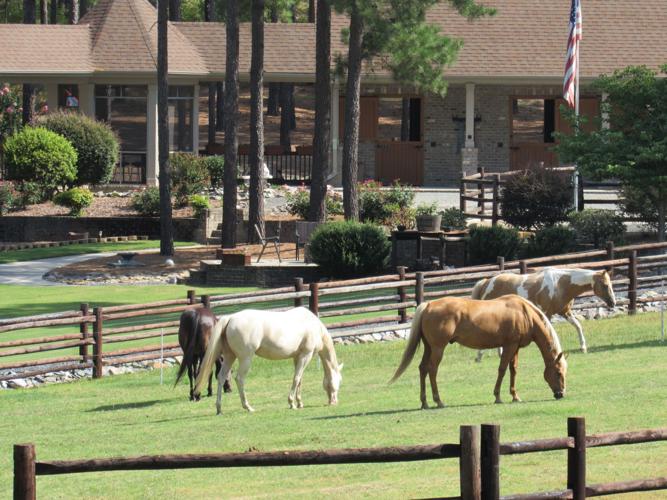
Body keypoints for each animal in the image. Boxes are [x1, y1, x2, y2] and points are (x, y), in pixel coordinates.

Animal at [193, 307, 343, 414]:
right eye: (340, 380)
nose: (334, 402)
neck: (313, 325)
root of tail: (231, 318)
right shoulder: (305, 356)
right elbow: (296, 379)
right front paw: (292, 403)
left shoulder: (298, 357)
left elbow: (299, 380)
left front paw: (299, 402)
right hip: (246, 359)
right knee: (239, 379)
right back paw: (248, 407)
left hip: (230, 357)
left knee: (221, 377)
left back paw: (219, 408)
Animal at [390, 295, 567, 408]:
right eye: (558, 373)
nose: (561, 394)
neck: (524, 313)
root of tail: (429, 305)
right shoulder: (509, 346)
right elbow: (502, 369)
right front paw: (497, 396)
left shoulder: (515, 347)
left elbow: (513, 370)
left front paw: (515, 396)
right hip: (438, 348)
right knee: (432, 370)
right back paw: (438, 401)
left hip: (429, 347)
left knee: (423, 369)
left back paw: (425, 402)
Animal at [472, 268, 615, 360]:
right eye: (605, 285)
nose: (613, 303)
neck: (560, 284)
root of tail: (487, 282)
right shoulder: (548, 313)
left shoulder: (565, 312)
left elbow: (578, 326)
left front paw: (583, 348)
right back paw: (479, 356)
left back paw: (499, 354)